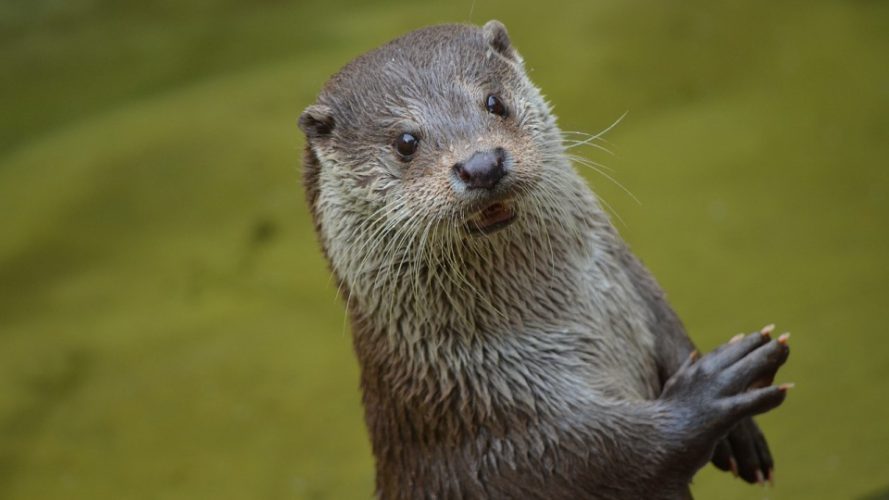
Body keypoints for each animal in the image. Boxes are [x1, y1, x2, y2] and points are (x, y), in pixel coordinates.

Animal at [298, 21, 791, 500]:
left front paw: (741, 434)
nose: (481, 164)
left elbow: (669, 326)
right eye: (405, 141)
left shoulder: (636, 287)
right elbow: (612, 456)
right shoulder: (503, 433)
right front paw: (714, 390)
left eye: (494, 102)